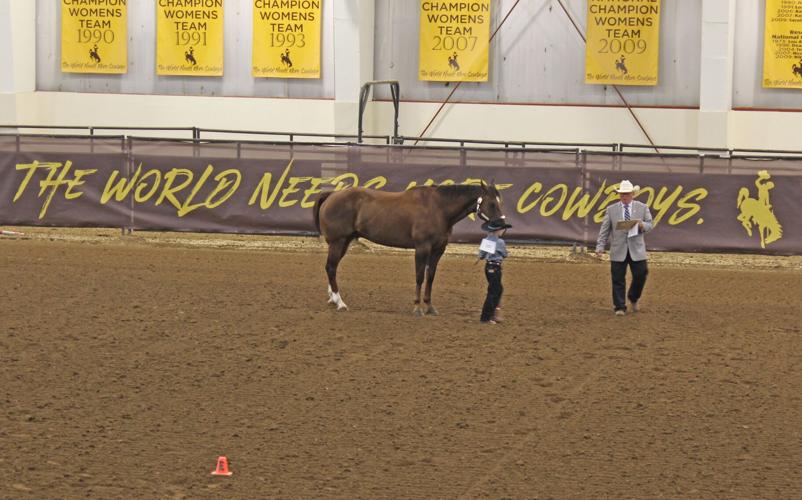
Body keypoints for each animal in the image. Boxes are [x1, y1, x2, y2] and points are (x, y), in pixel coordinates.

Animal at [313, 182, 506, 315]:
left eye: (499, 202)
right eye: (492, 204)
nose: (503, 226)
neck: (438, 209)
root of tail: (332, 194)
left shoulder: (437, 250)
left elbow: (430, 277)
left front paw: (429, 306)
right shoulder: (422, 248)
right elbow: (419, 277)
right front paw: (417, 308)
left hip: (344, 242)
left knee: (332, 268)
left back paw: (333, 298)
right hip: (338, 242)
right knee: (331, 268)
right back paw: (340, 303)